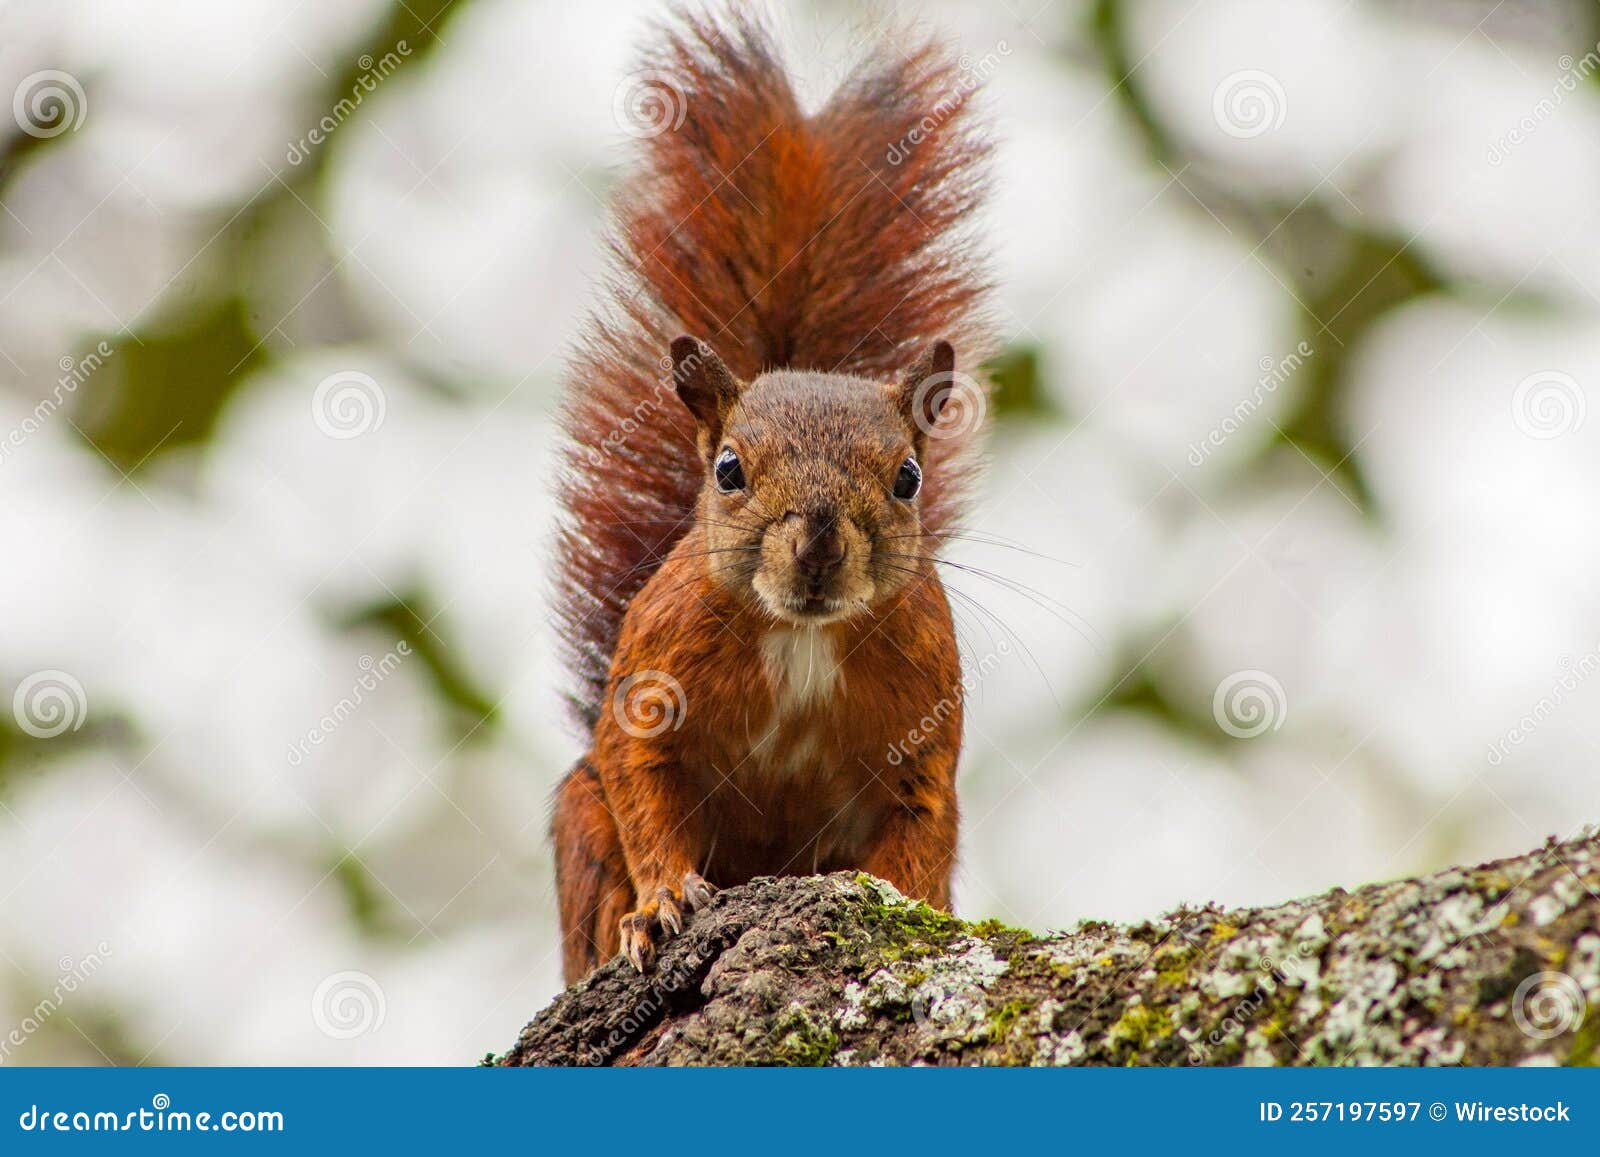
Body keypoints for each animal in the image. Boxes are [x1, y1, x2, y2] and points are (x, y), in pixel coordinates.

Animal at [550, 9, 995, 983]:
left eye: (908, 476)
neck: (802, 637)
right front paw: (662, 903)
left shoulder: (924, 742)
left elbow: (919, 827)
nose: (820, 543)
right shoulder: (649, 694)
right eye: (728, 470)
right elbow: (643, 788)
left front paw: (899, 903)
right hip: (579, 818)